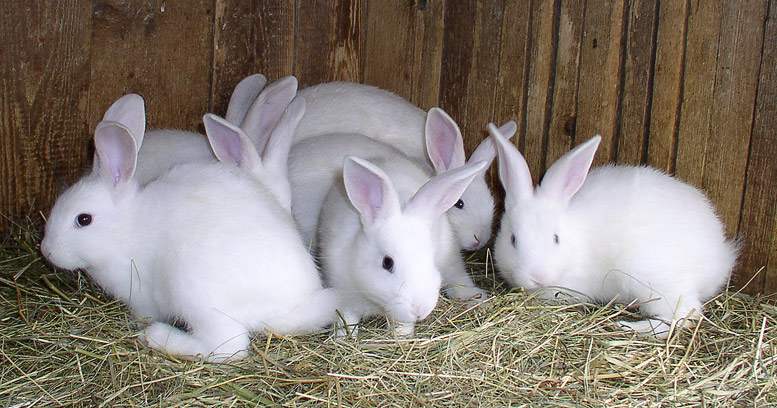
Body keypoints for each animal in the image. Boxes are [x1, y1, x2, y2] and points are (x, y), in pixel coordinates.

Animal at [40, 94, 340, 362]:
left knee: (228, 347)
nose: (47, 251)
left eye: (83, 219)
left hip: (195, 293)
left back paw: (157, 338)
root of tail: (296, 305)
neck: (125, 228)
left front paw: (136, 325)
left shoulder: (142, 296)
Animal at [317, 154, 488, 337]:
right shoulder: (344, 296)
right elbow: (347, 320)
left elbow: (402, 323)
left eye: (431, 260)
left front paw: (402, 337)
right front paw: (341, 337)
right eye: (387, 263)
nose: (419, 309)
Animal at [488, 124, 738, 338]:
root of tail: (720, 257)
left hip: (650, 277)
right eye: (513, 239)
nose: (537, 276)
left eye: (556, 238)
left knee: (685, 314)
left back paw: (631, 327)